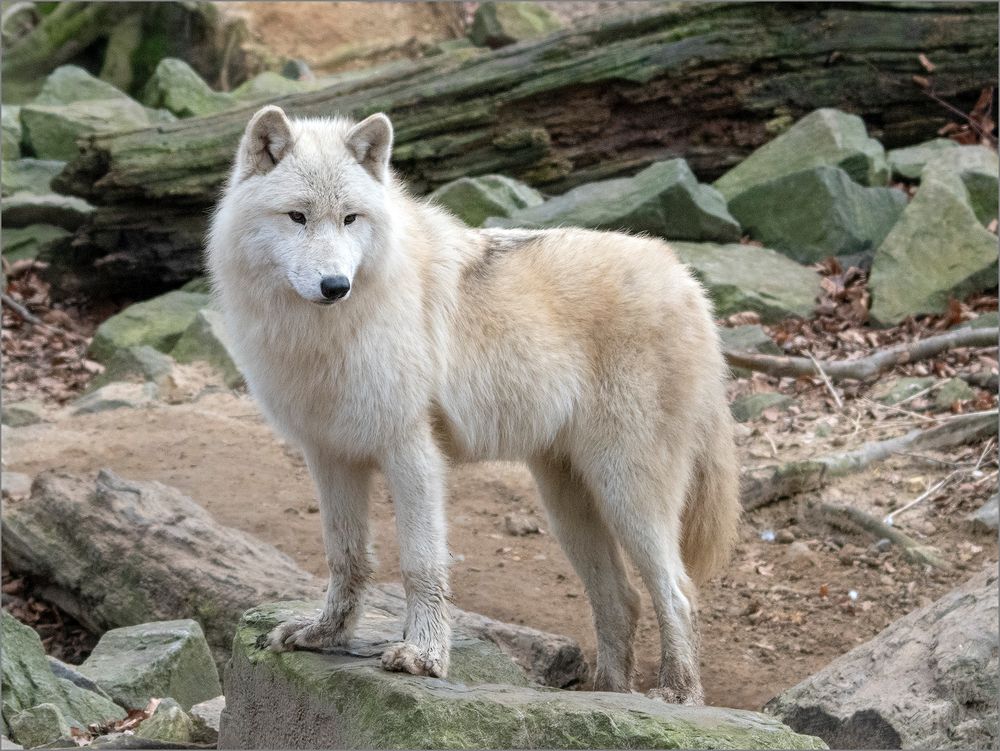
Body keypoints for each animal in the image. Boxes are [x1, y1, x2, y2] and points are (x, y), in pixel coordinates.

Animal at [207, 105, 740, 705]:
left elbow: (420, 564)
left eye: (350, 219)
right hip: (568, 501)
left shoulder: (411, 451)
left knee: (677, 592)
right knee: (620, 599)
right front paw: (326, 635)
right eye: (297, 217)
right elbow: (346, 559)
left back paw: (677, 697)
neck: (324, 335)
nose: (335, 284)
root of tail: (688, 280)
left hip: (626, 488)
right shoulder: (330, 457)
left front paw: (424, 656)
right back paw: (608, 696)